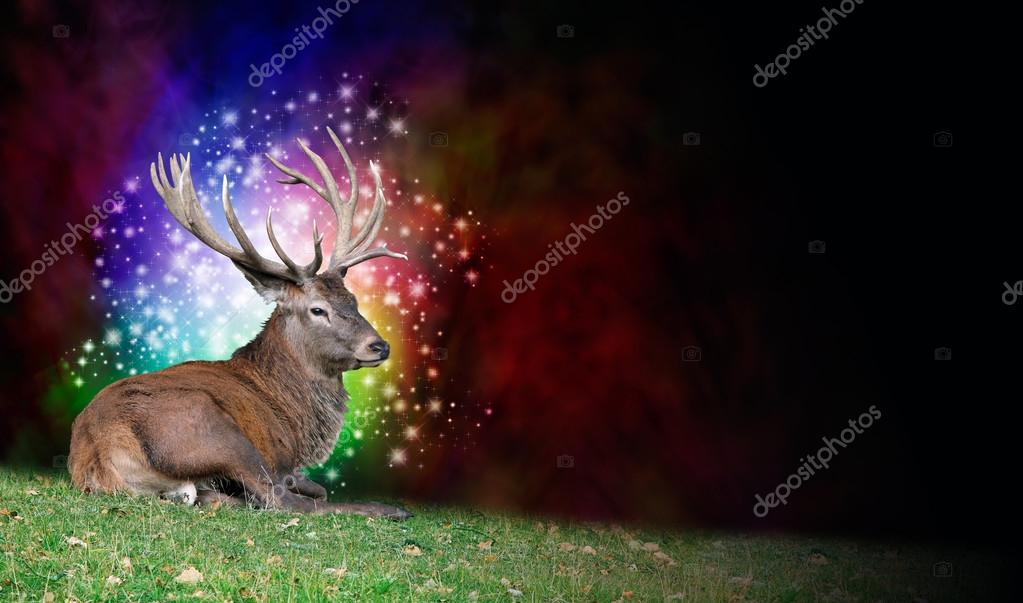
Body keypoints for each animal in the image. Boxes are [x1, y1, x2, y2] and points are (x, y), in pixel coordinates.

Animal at [68, 128, 411, 519]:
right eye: (317, 310)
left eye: (352, 300)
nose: (379, 345)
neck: (296, 418)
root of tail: (100, 454)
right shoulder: (279, 452)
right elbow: (312, 490)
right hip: (214, 429)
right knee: (281, 499)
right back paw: (386, 508)